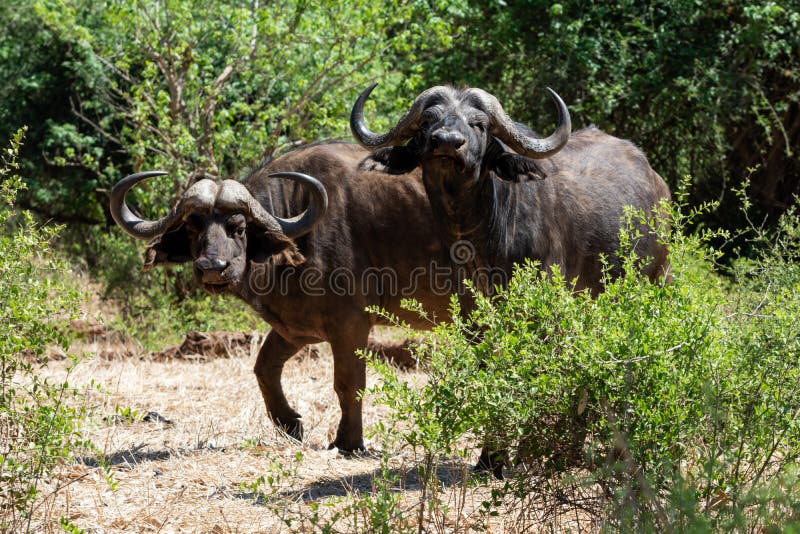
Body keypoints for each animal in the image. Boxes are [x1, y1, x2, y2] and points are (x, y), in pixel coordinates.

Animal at [110, 142, 452, 453]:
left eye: (239, 228)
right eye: (194, 229)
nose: (212, 269)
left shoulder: (351, 326)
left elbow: (348, 383)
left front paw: (348, 442)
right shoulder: (296, 328)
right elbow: (264, 369)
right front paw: (291, 425)